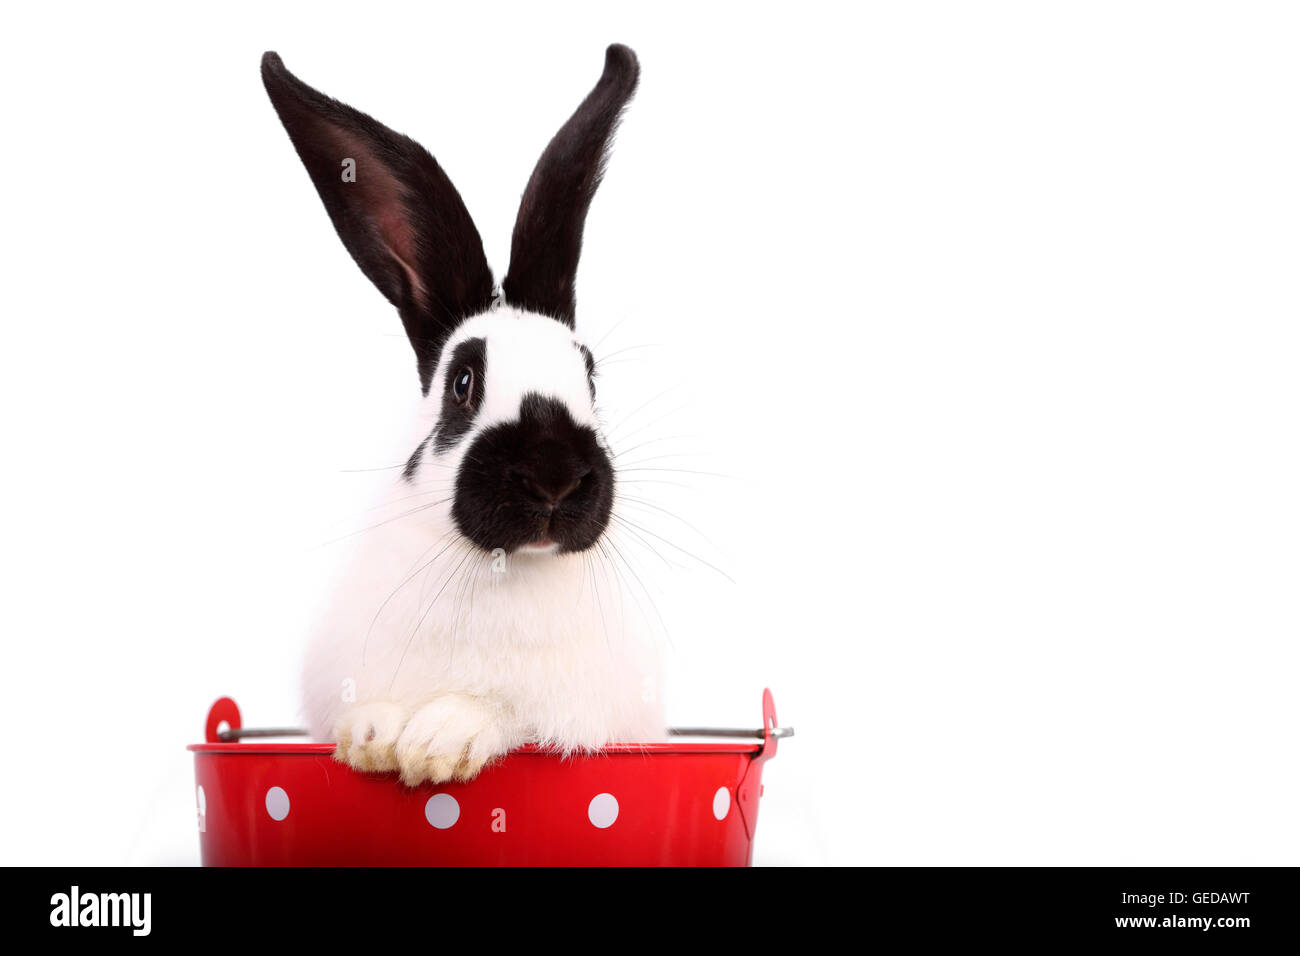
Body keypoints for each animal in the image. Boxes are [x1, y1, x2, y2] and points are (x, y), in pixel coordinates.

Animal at [261, 45, 664, 786]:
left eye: (589, 373)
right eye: (463, 382)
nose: (553, 477)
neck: (503, 567)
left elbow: (505, 712)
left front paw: (436, 741)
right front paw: (374, 738)